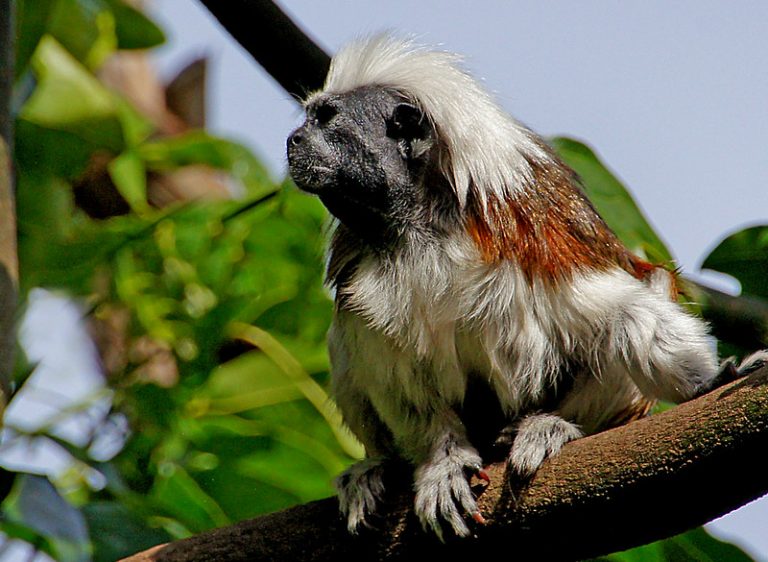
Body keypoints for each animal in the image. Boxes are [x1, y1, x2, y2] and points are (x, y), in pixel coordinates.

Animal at [286, 34, 767, 539]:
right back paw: (379, 467)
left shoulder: (529, 235)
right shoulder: (366, 279)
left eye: (327, 118)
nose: (294, 140)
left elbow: (622, 310)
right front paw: (441, 462)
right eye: (309, 119)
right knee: (346, 339)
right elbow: (401, 375)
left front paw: (711, 381)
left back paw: (542, 427)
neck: (421, 228)